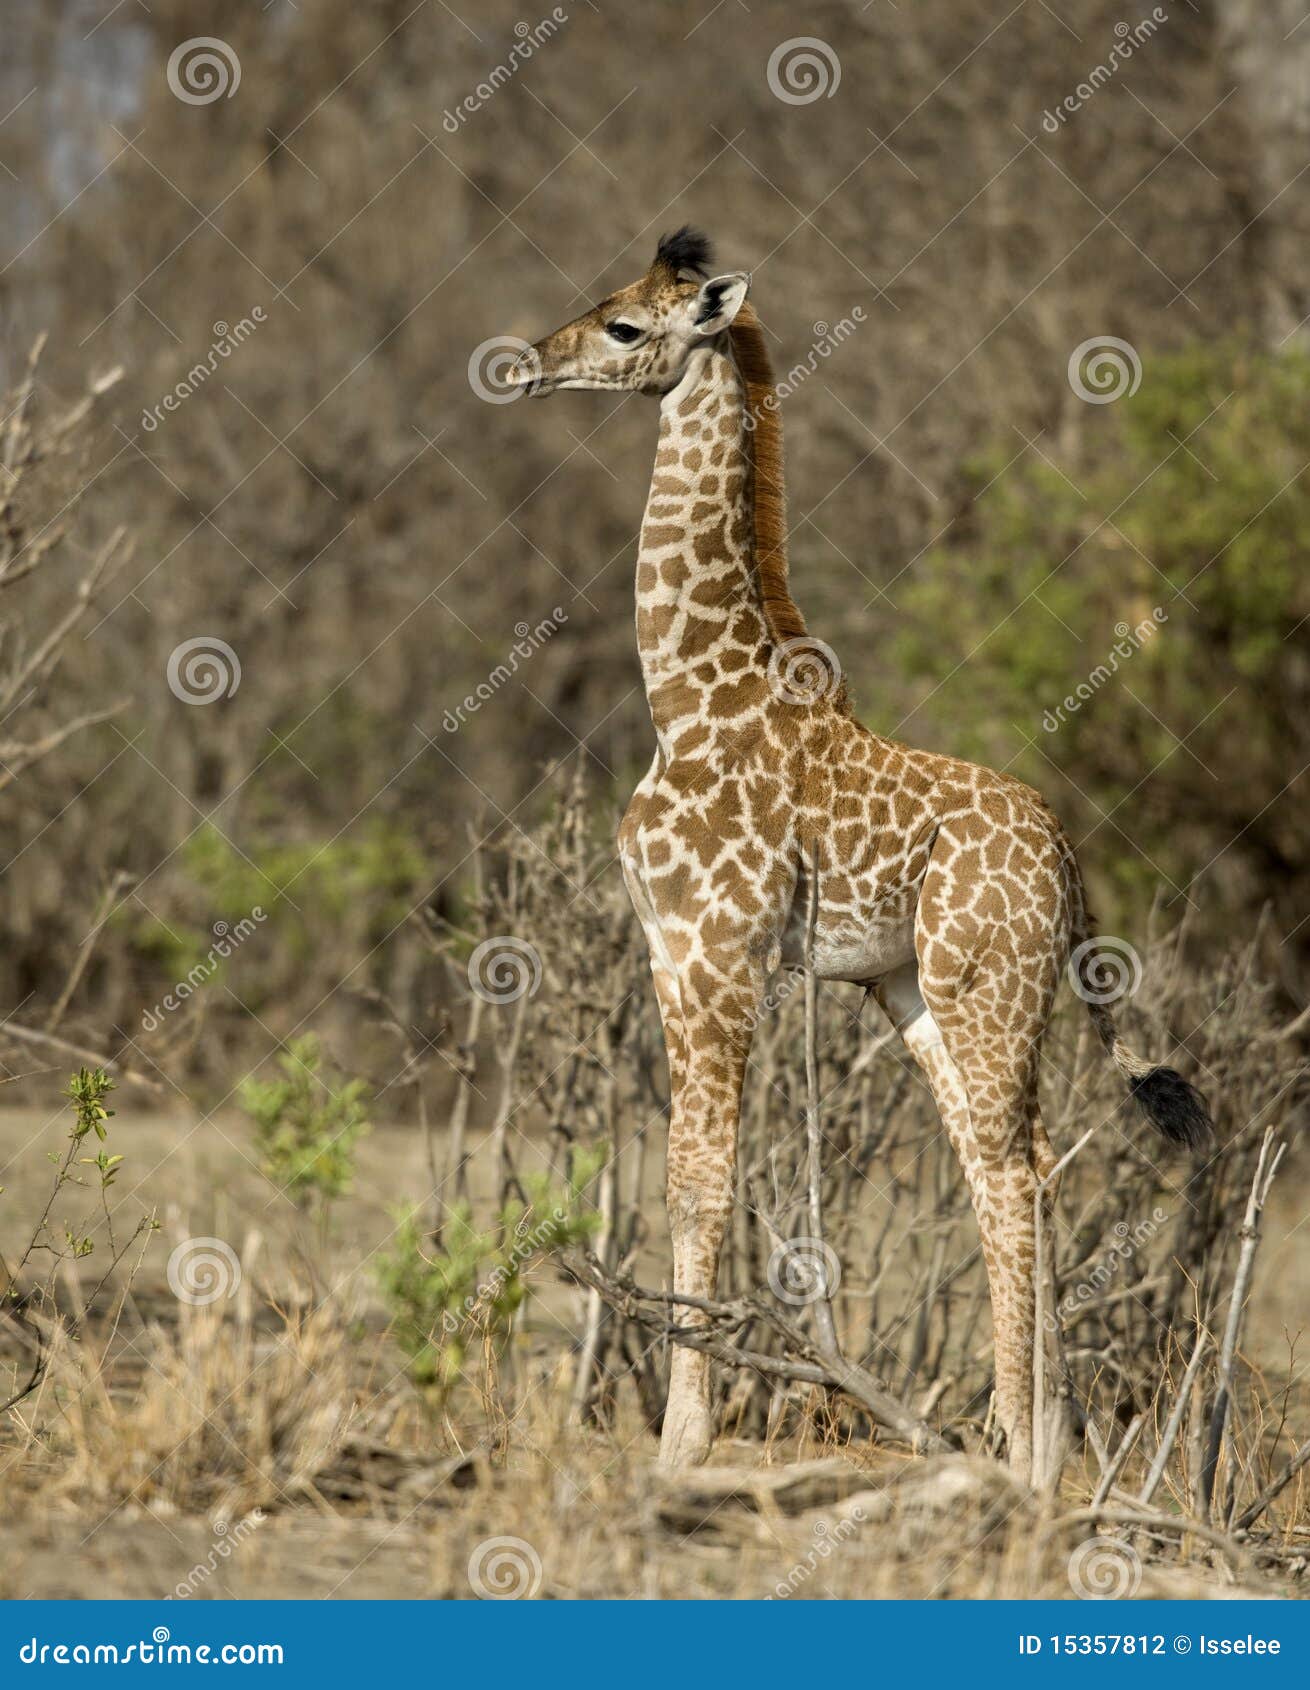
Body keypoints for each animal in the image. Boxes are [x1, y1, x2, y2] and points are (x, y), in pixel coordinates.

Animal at [503, 227, 1211, 1481]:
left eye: (626, 325)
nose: (533, 361)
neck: (684, 696)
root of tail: (1070, 864)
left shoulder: (718, 953)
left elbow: (701, 1177)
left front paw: (680, 1443)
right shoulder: (665, 951)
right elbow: (683, 1173)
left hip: (980, 989)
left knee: (1016, 1170)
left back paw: (1026, 1456)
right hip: (921, 992)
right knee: (1003, 1163)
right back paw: (1035, 1447)